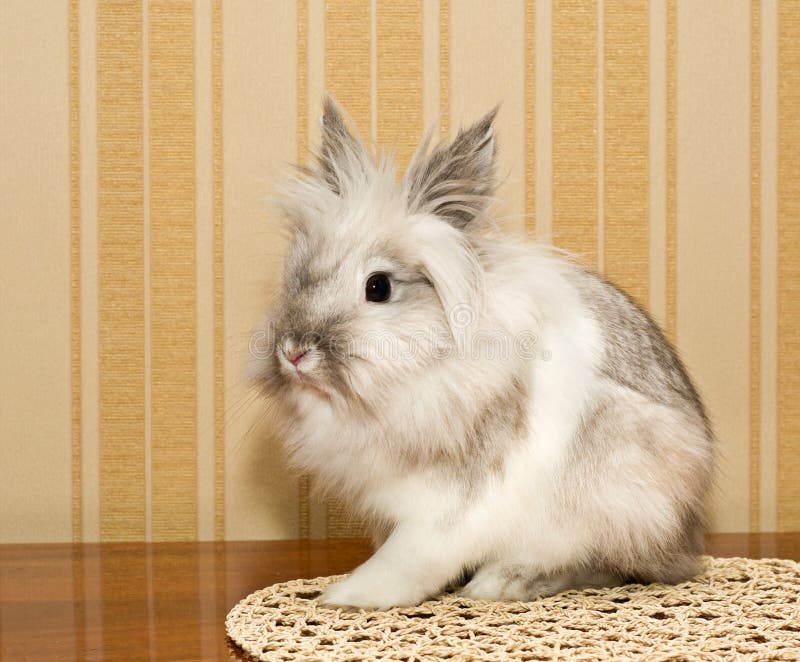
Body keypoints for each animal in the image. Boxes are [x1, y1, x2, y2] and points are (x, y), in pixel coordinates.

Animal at [250, 98, 715, 610]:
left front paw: (348, 596)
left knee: (601, 564)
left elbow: (410, 556)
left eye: (379, 287)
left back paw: (504, 582)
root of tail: (683, 537)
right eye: (299, 275)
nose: (294, 352)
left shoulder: (451, 505)